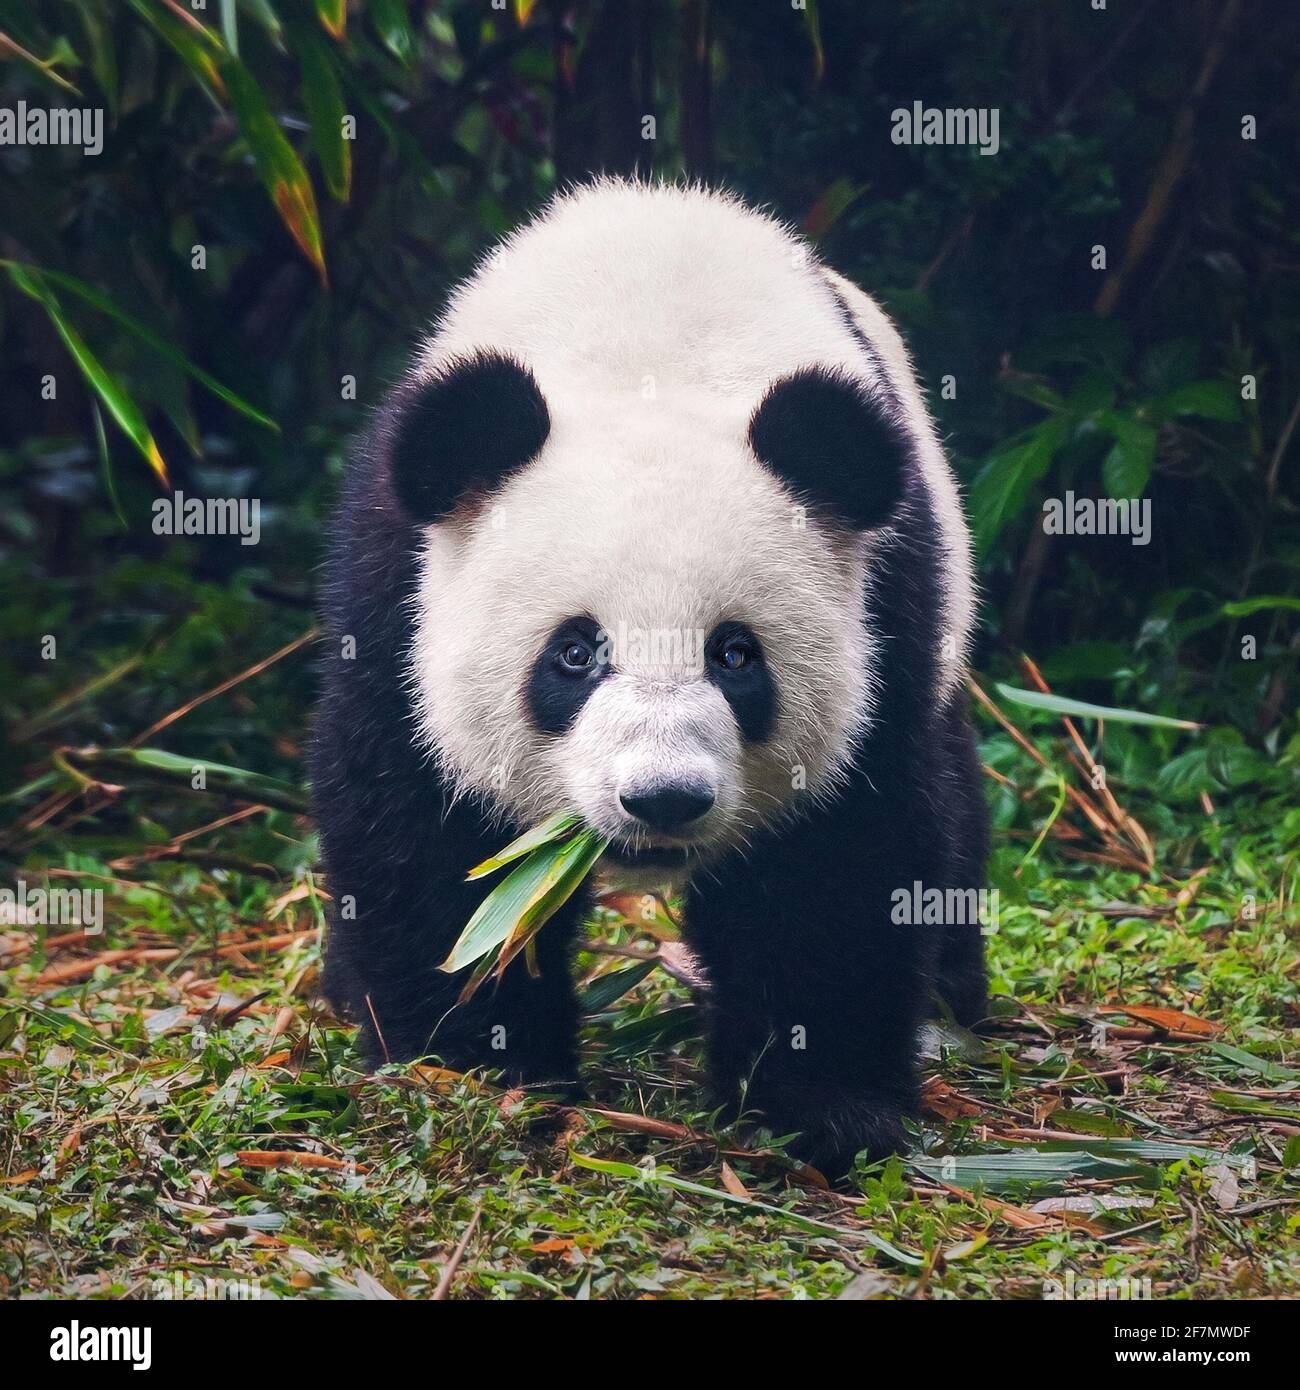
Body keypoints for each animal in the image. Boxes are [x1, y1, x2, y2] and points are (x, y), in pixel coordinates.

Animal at [313, 178, 988, 1176]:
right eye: (575, 653)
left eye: (735, 656)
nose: (662, 799)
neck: (650, 354)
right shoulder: (397, 585)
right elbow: (430, 839)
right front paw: (476, 1070)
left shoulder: (885, 601)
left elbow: (841, 857)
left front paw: (826, 1110)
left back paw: (952, 994)